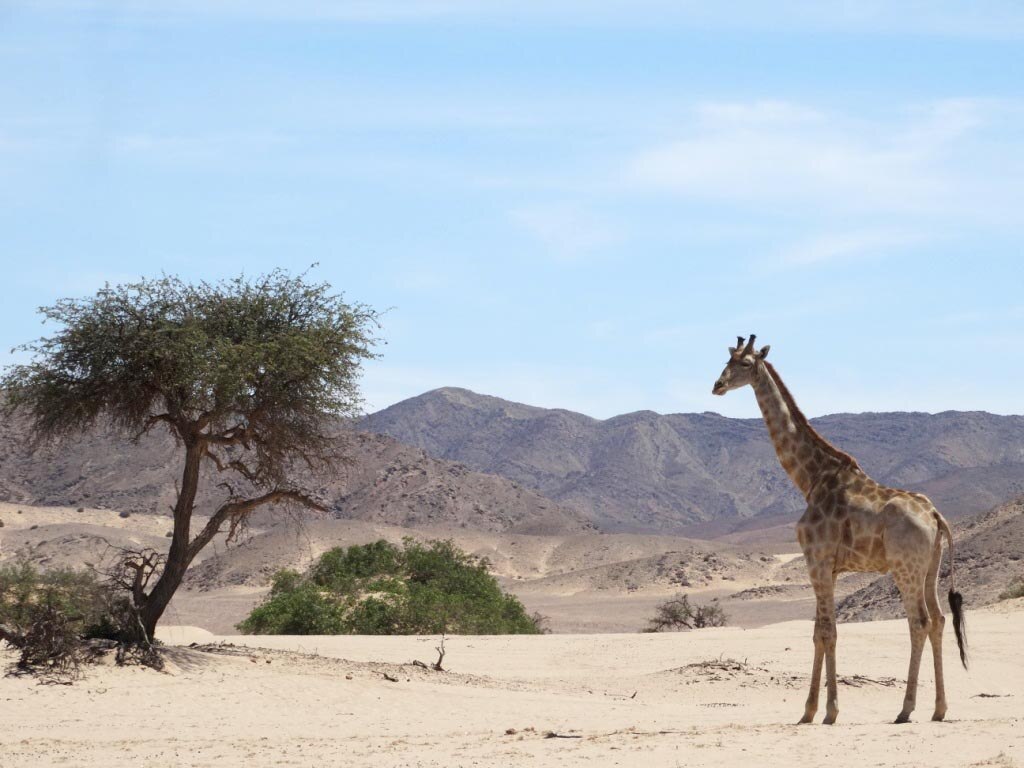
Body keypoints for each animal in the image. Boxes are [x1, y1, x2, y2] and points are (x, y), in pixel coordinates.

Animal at [712, 335, 967, 724]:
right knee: (938, 620)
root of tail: (936, 516)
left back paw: (905, 709)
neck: (810, 479)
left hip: (905, 567)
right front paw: (812, 710)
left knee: (919, 622)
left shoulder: (816, 560)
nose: (718, 385)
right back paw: (939, 709)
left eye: (745, 363)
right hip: (930, 567)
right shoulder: (828, 567)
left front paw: (826, 711)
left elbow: (827, 633)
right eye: (726, 360)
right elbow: (818, 632)